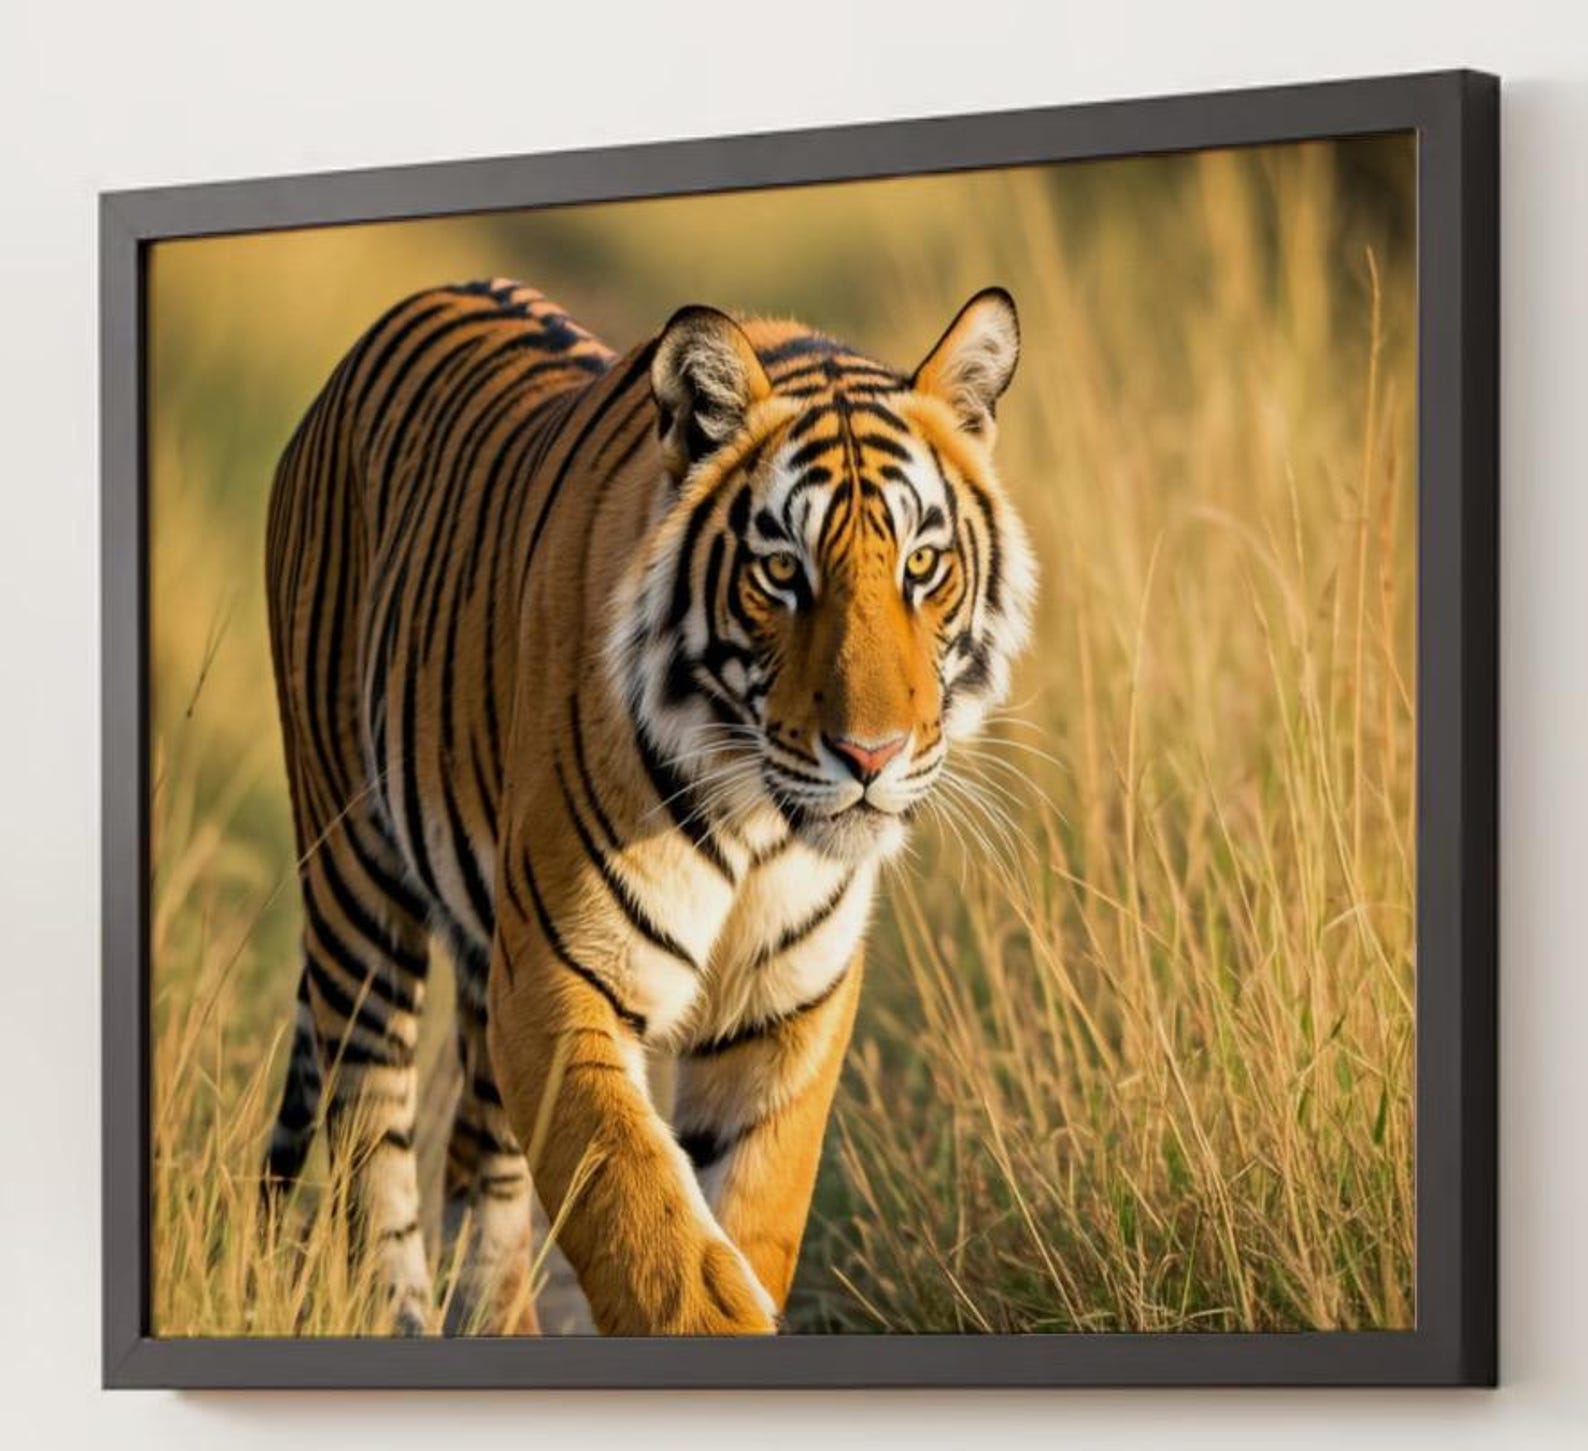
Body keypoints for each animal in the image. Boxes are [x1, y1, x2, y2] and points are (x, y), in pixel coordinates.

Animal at [262, 276, 1036, 1336]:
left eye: (922, 565)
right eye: (782, 571)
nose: (871, 755)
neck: (763, 827)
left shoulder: (785, 1012)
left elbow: (749, 1217)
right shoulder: (560, 985)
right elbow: (648, 1227)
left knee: (479, 1172)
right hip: (355, 892)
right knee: (370, 1150)